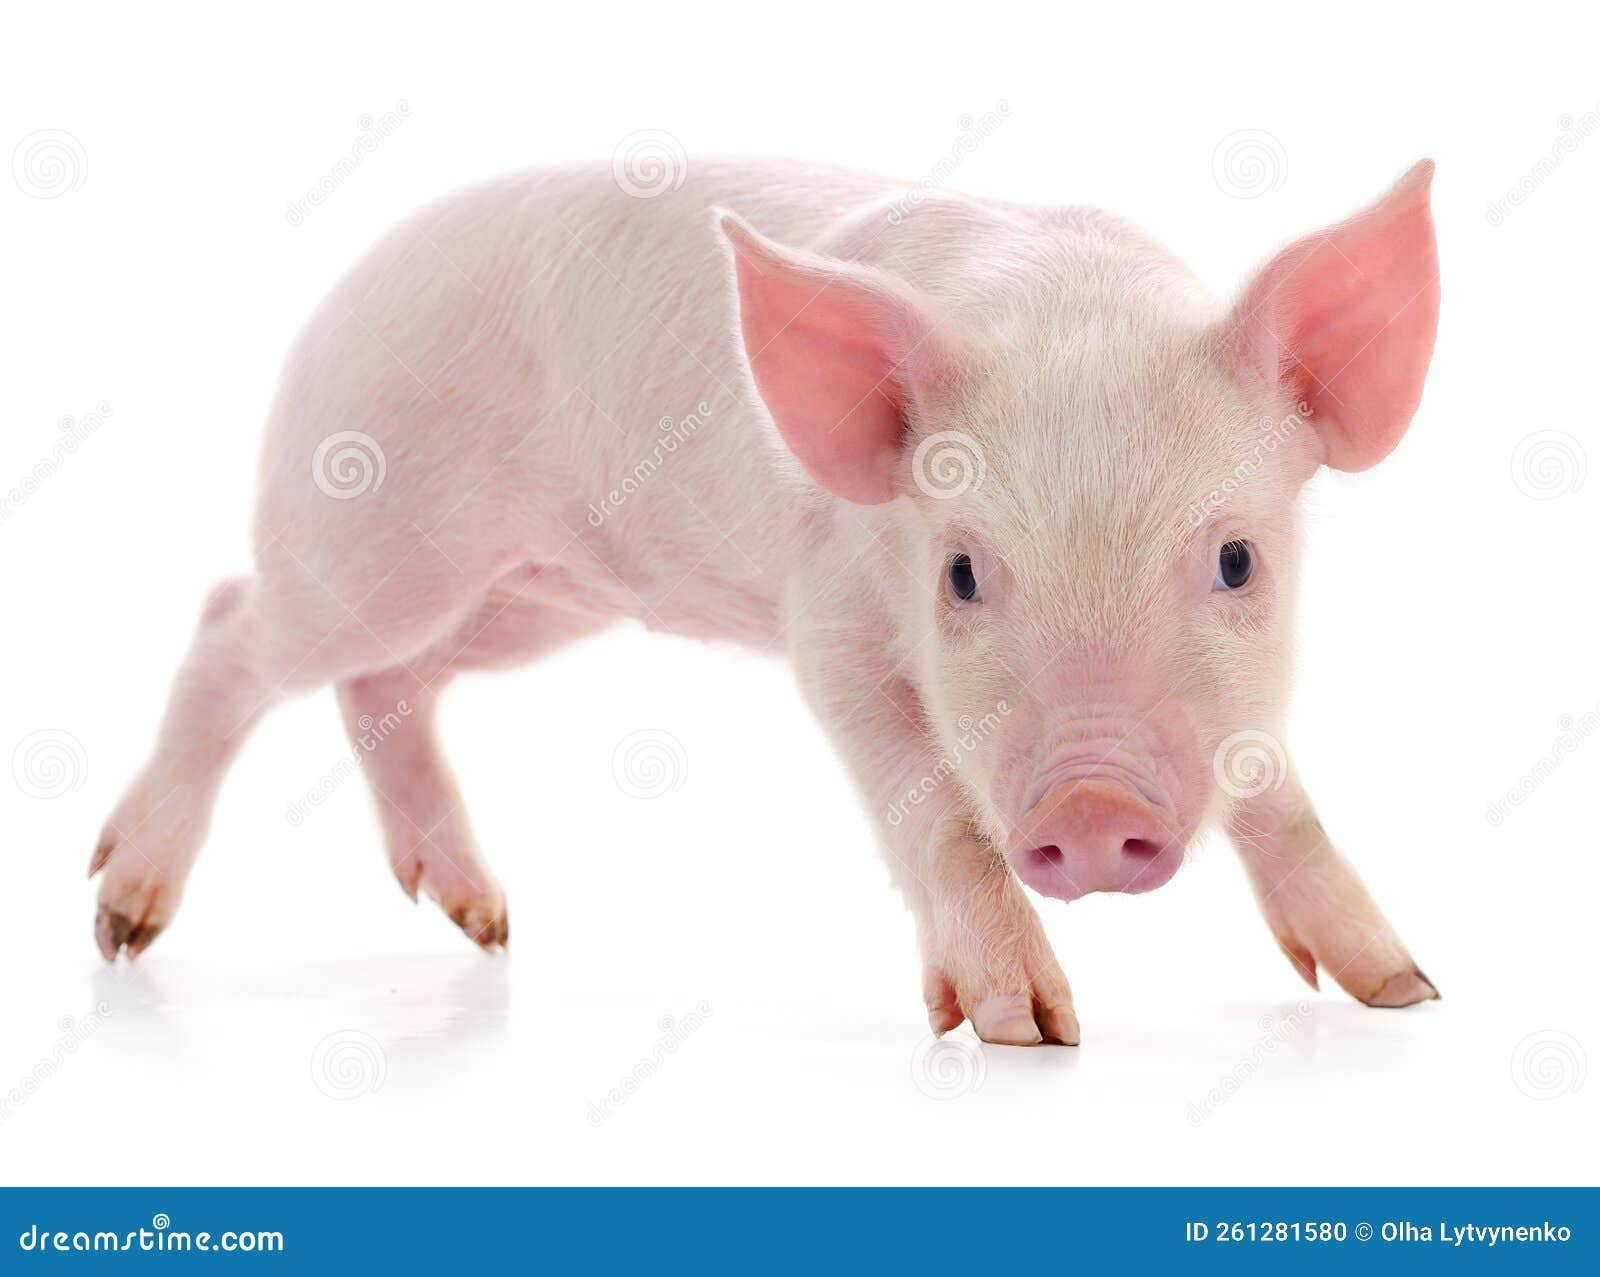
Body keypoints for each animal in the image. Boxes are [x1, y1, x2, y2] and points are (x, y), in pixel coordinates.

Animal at [92, 155, 1441, 1044]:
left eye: (1236, 559)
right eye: (961, 572)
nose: (1095, 804)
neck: (1070, 313)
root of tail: (337, 298)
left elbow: (1277, 798)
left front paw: (1404, 988)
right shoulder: (828, 618)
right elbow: (931, 807)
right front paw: (1025, 1026)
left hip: (531, 593)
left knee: (386, 686)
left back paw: (485, 921)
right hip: (378, 540)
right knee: (232, 626)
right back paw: (122, 917)